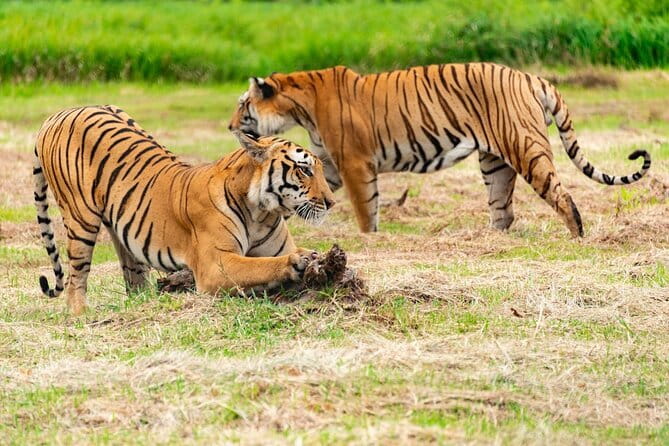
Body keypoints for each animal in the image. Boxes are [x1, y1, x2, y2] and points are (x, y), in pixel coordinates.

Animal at [33, 105, 335, 315]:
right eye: (304, 169)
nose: (331, 202)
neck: (262, 212)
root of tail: (56, 115)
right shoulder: (215, 265)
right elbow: (259, 266)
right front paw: (298, 261)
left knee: (132, 273)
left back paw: (145, 302)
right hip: (80, 219)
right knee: (76, 277)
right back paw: (81, 313)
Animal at [228, 63, 651, 236]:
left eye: (242, 105)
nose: (230, 127)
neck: (301, 106)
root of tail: (532, 77)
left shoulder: (354, 164)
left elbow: (366, 209)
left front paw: (369, 238)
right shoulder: (330, 165)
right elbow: (312, 193)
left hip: (526, 149)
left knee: (563, 197)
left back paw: (578, 238)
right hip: (493, 163)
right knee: (503, 210)